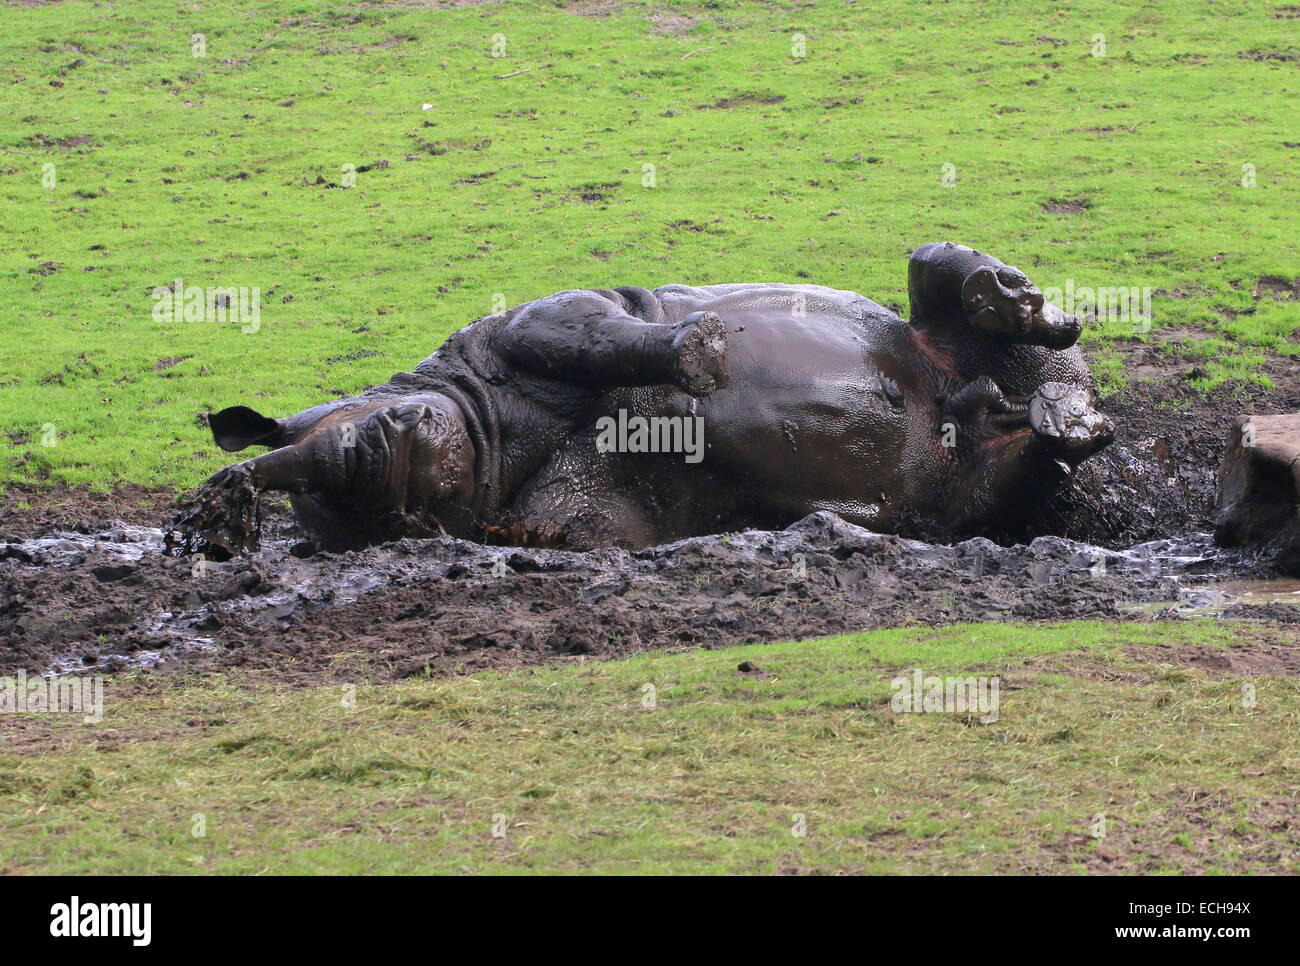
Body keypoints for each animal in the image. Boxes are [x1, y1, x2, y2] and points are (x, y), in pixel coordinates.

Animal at [167, 242, 1114, 557]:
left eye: (366, 438)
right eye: (378, 499)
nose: (377, 438)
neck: (496, 429)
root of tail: (984, 400)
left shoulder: (539, 324)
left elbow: (596, 335)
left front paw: (698, 349)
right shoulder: (570, 517)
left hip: (962, 332)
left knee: (942, 276)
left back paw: (1021, 317)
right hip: (976, 478)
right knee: (1010, 469)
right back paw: (1059, 425)